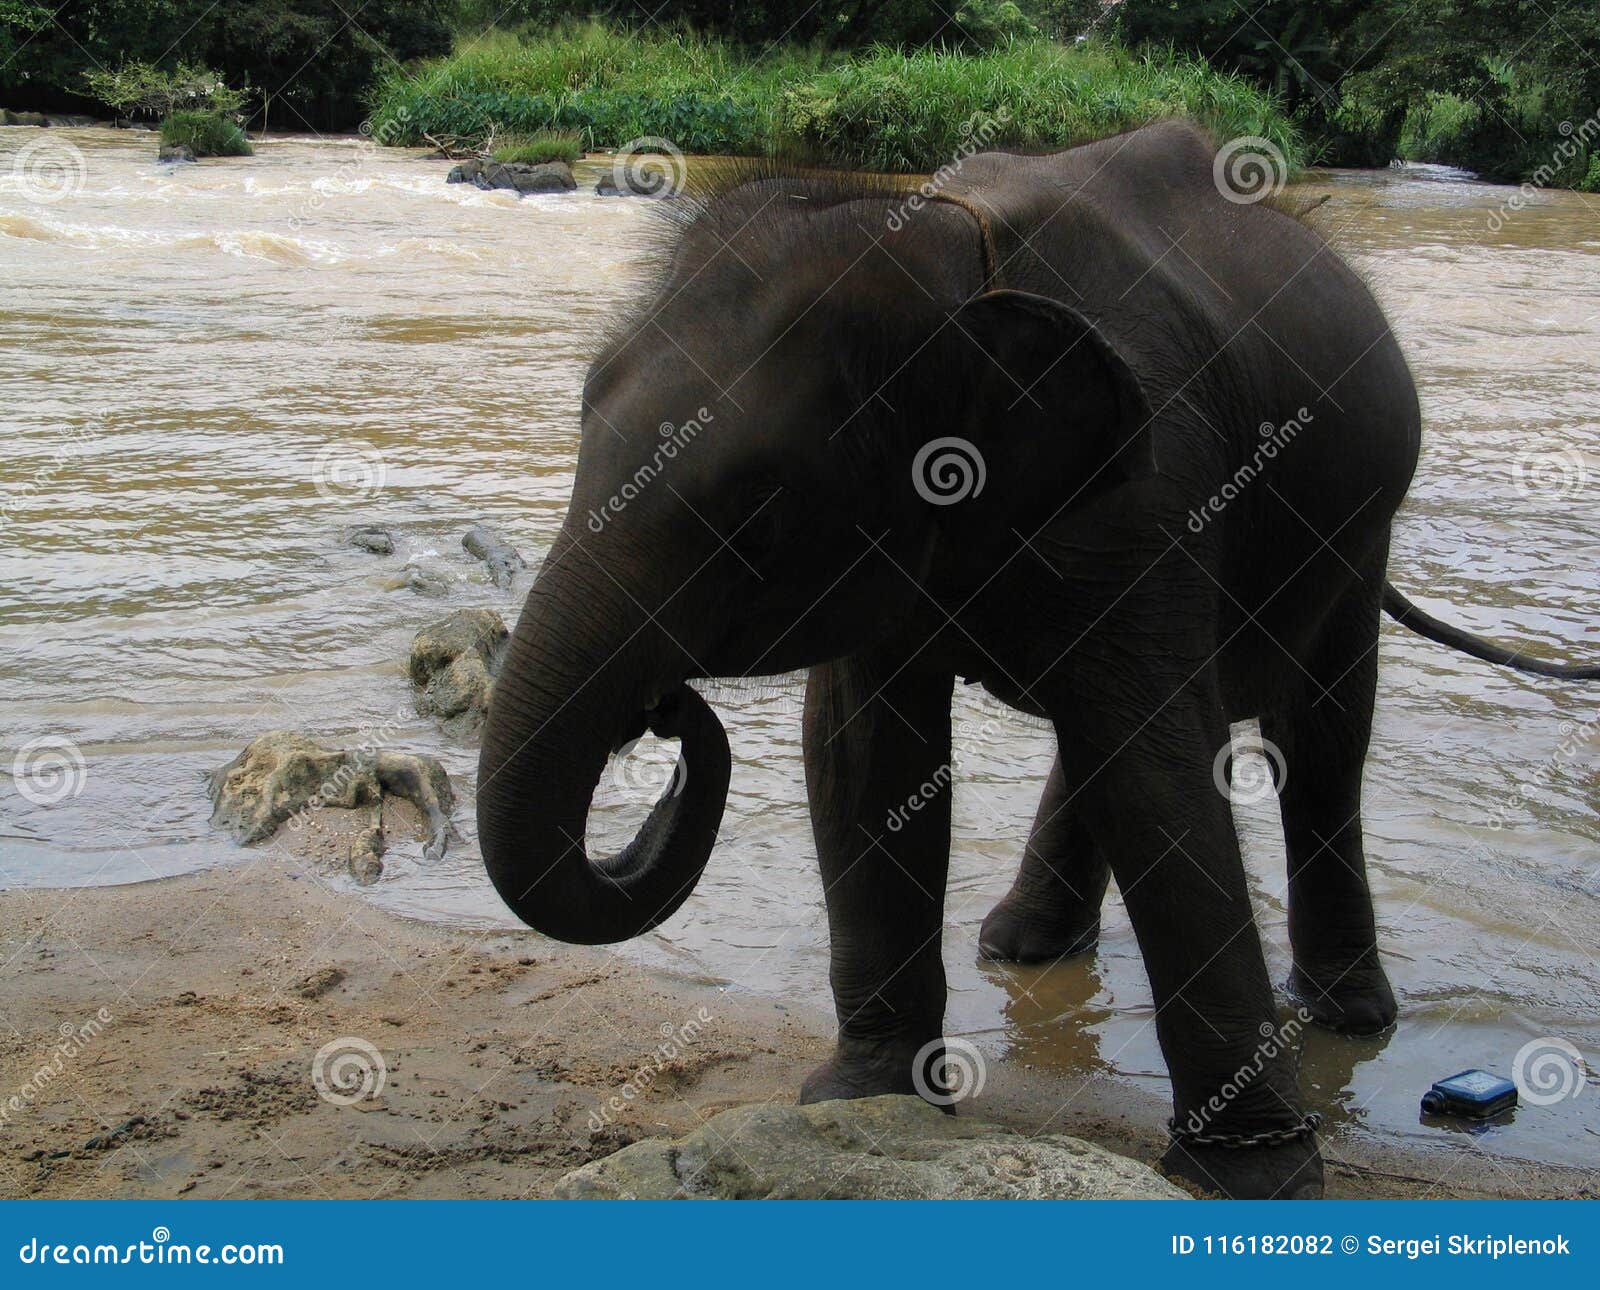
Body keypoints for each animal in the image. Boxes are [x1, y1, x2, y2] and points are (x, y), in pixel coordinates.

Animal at [476, 121, 1598, 1199]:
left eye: (755, 522)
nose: (665, 711)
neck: (951, 257)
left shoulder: (1153, 492)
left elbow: (1155, 765)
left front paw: (1252, 1181)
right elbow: (863, 756)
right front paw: (861, 1102)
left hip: (1357, 531)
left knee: (1312, 737)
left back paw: (1349, 1019)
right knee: (1100, 739)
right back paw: (1019, 948)